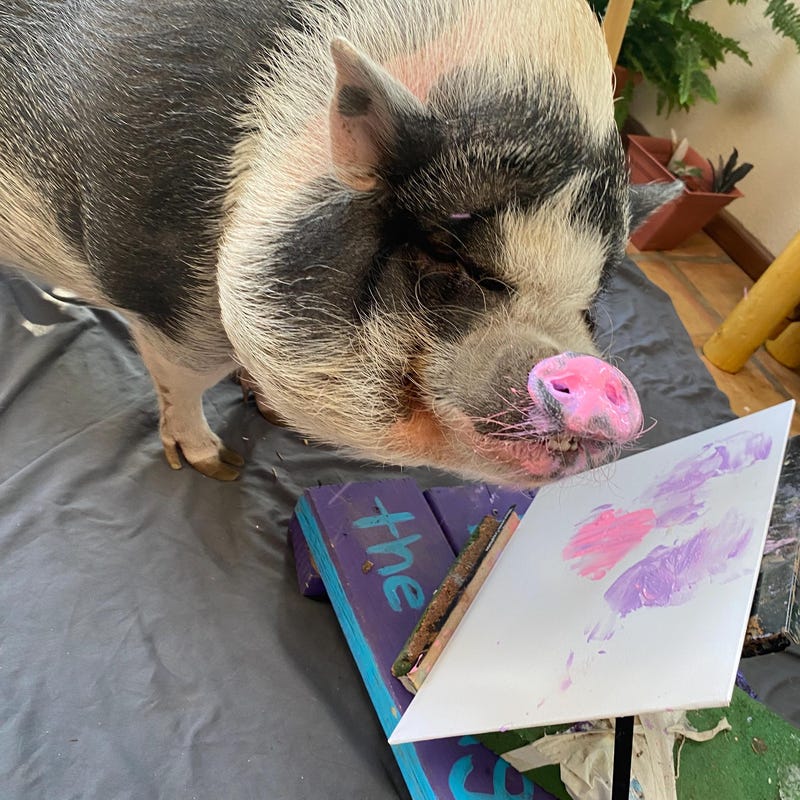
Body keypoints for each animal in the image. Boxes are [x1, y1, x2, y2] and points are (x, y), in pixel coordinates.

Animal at [0, 0, 680, 486]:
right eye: (451, 255)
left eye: (589, 310)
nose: (599, 374)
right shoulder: (166, 297)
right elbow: (184, 379)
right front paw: (216, 468)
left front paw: (263, 410)